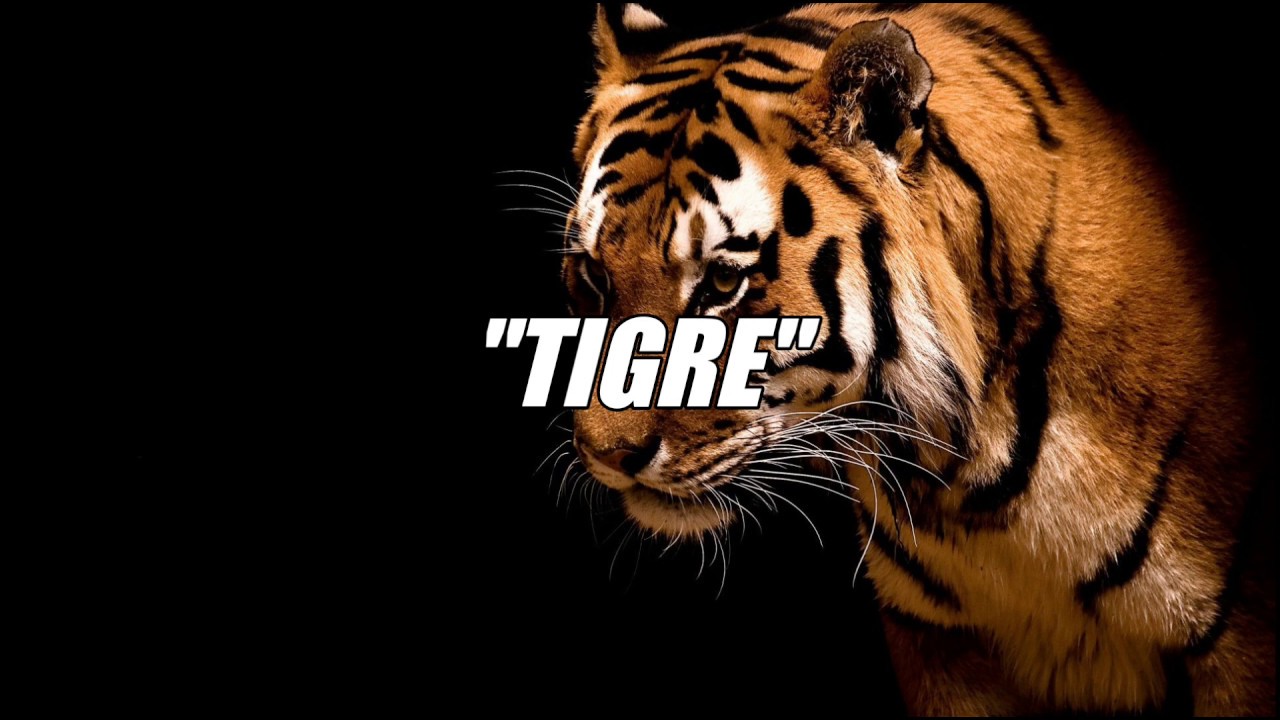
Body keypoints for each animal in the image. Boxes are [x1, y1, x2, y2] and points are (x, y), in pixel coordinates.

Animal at [559, 3, 1275, 715]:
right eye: (593, 276)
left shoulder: (1238, 641)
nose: (608, 455)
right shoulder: (937, 638)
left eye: (722, 282)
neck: (969, 479)